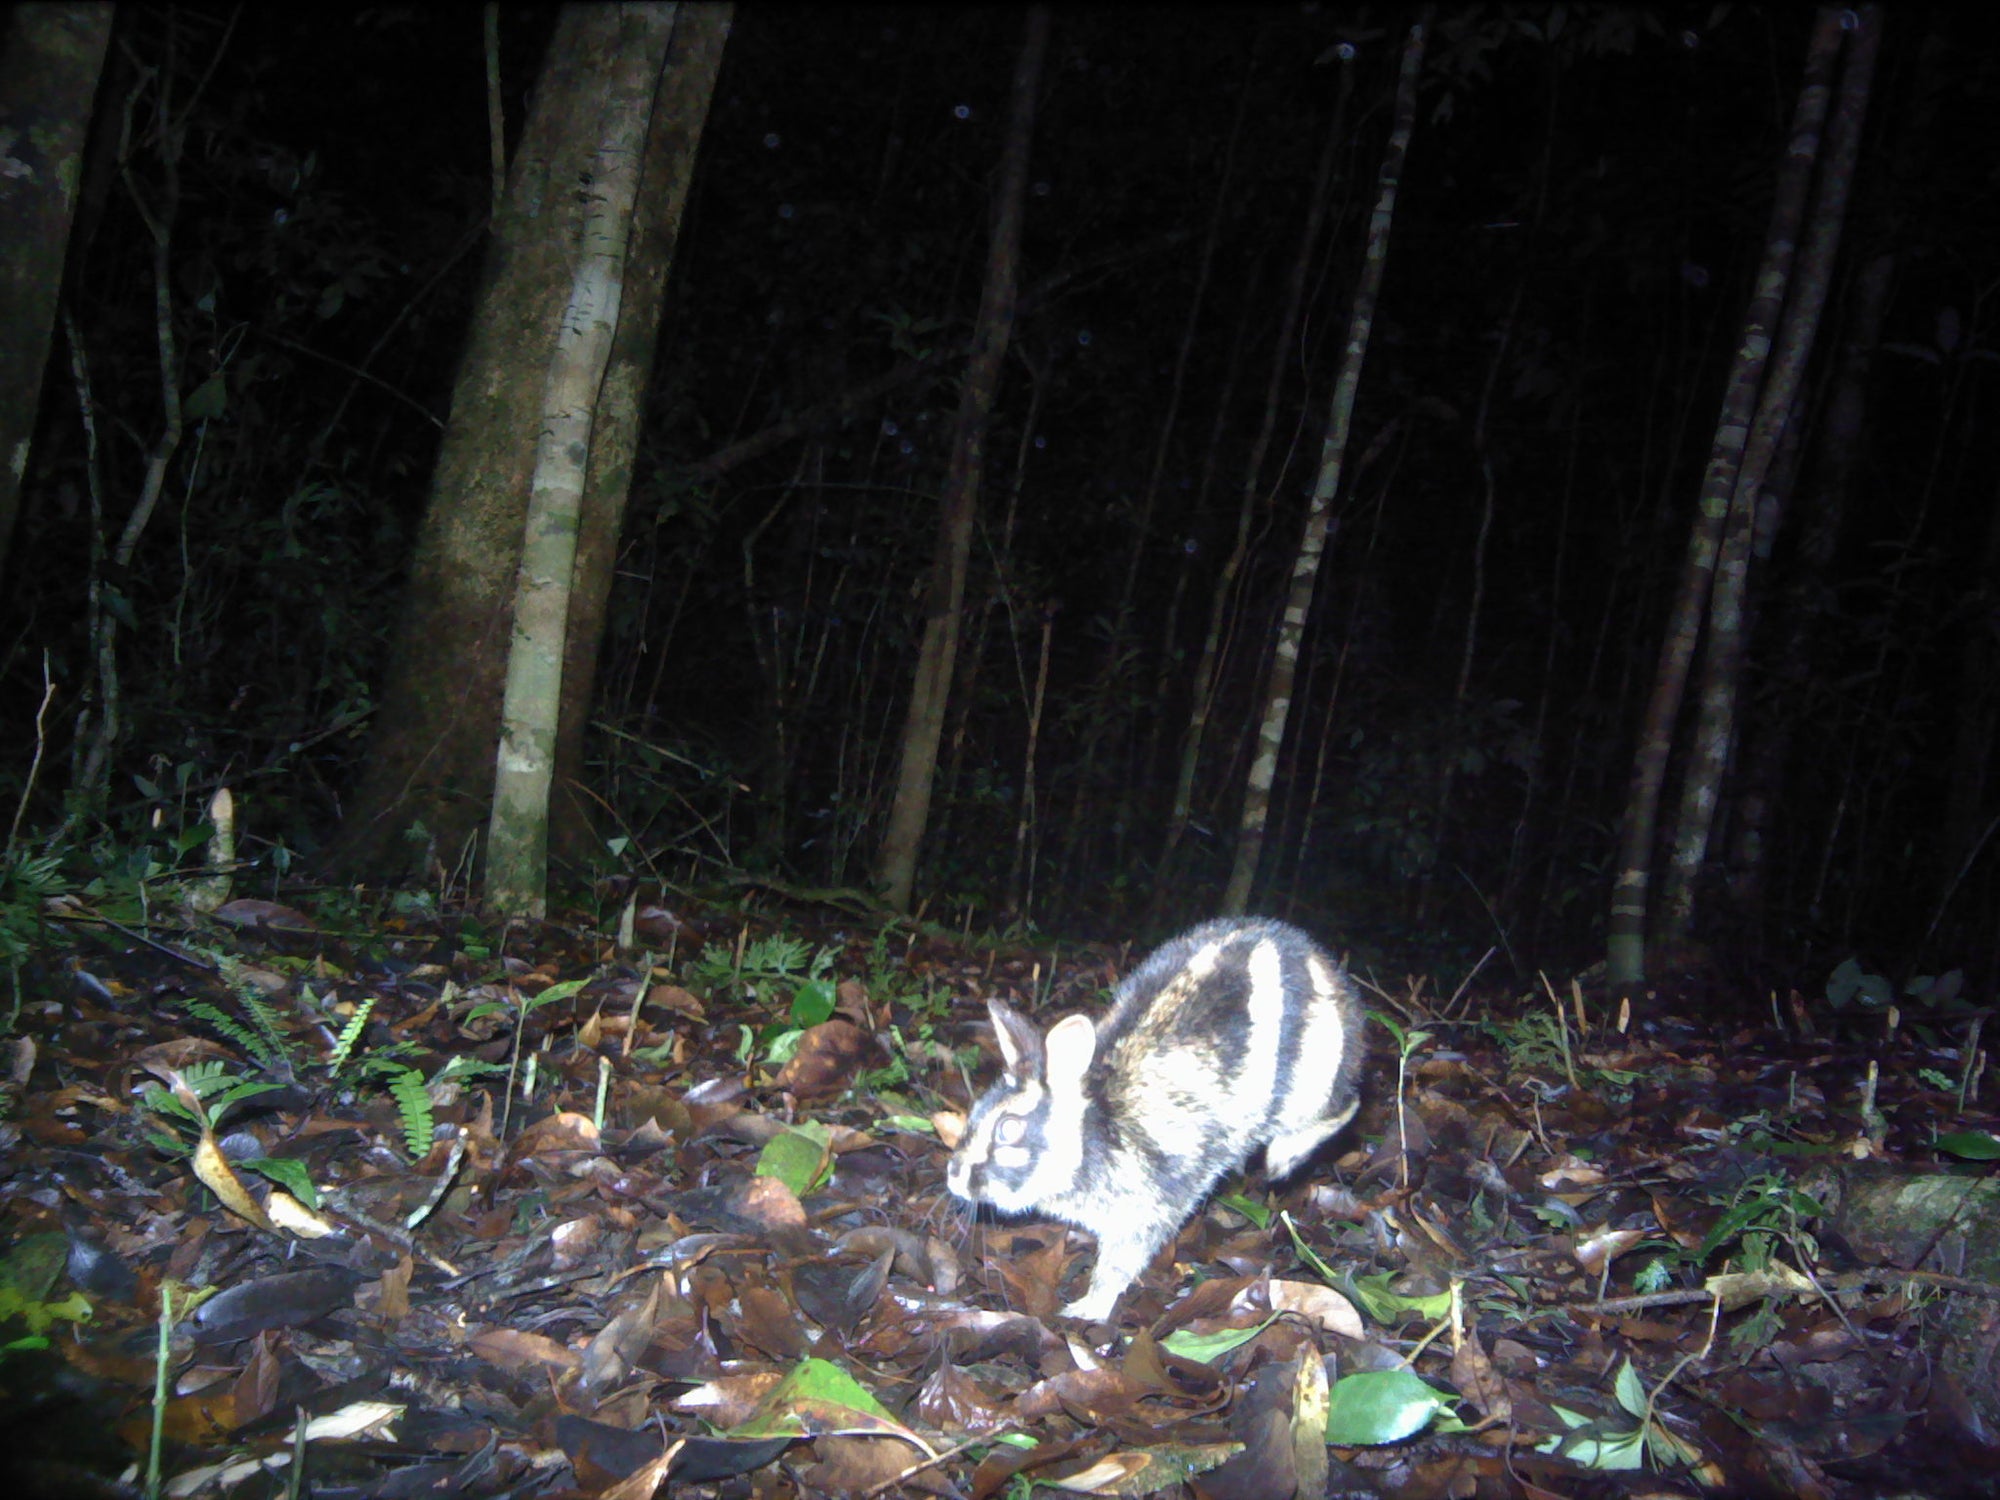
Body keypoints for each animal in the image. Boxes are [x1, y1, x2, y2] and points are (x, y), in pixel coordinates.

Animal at [946, 916, 1363, 1321]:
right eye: (976, 1110)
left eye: (1009, 1128)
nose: (954, 1175)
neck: (1088, 1136)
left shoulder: (1147, 1205)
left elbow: (1119, 1264)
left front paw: (1088, 1308)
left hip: (1306, 1087)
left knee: (1345, 1106)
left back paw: (1281, 1160)